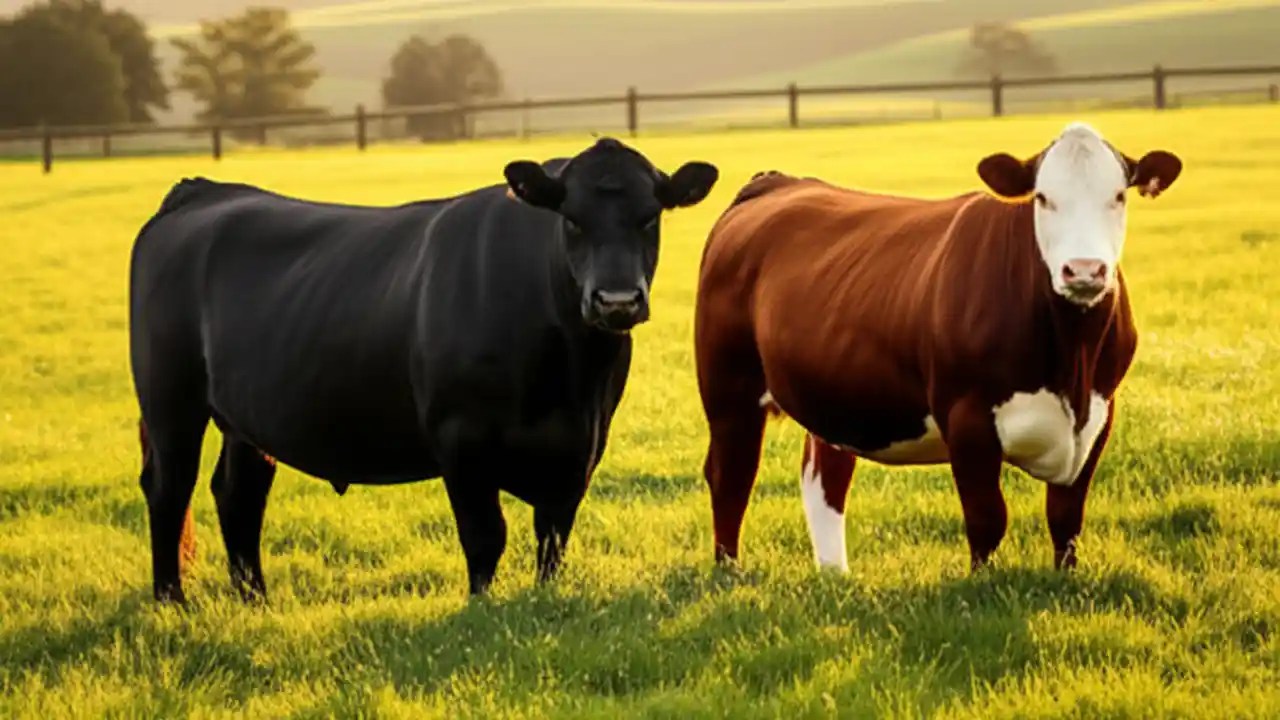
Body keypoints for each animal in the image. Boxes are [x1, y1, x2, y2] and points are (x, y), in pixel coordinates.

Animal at [129, 137, 718, 603]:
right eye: (572, 219)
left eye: (650, 217)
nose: (616, 301)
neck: (568, 372)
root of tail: (204, 190)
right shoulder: (460, 438)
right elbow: (485, 536)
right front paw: (482, 607)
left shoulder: (581, 448)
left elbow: (552, 538)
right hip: (169, 400)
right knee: (169, 488)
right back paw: (172, 601)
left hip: (247, 417)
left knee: (239, 494)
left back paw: (255, 600)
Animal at [693, 122, 1181, 573]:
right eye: (1043, 198)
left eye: (1118, 196)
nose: (1083, 270)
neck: (1071, 362)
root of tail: (776, 181)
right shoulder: (967, 416)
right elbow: (987, 517)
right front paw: (982, 583)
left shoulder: (1098, 415)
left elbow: (1066, 517)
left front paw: (1065, 576)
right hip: (728, 387)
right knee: (730, 474)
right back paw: (728, 569)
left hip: (831, 387)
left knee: (825, 477)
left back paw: (835, 574)